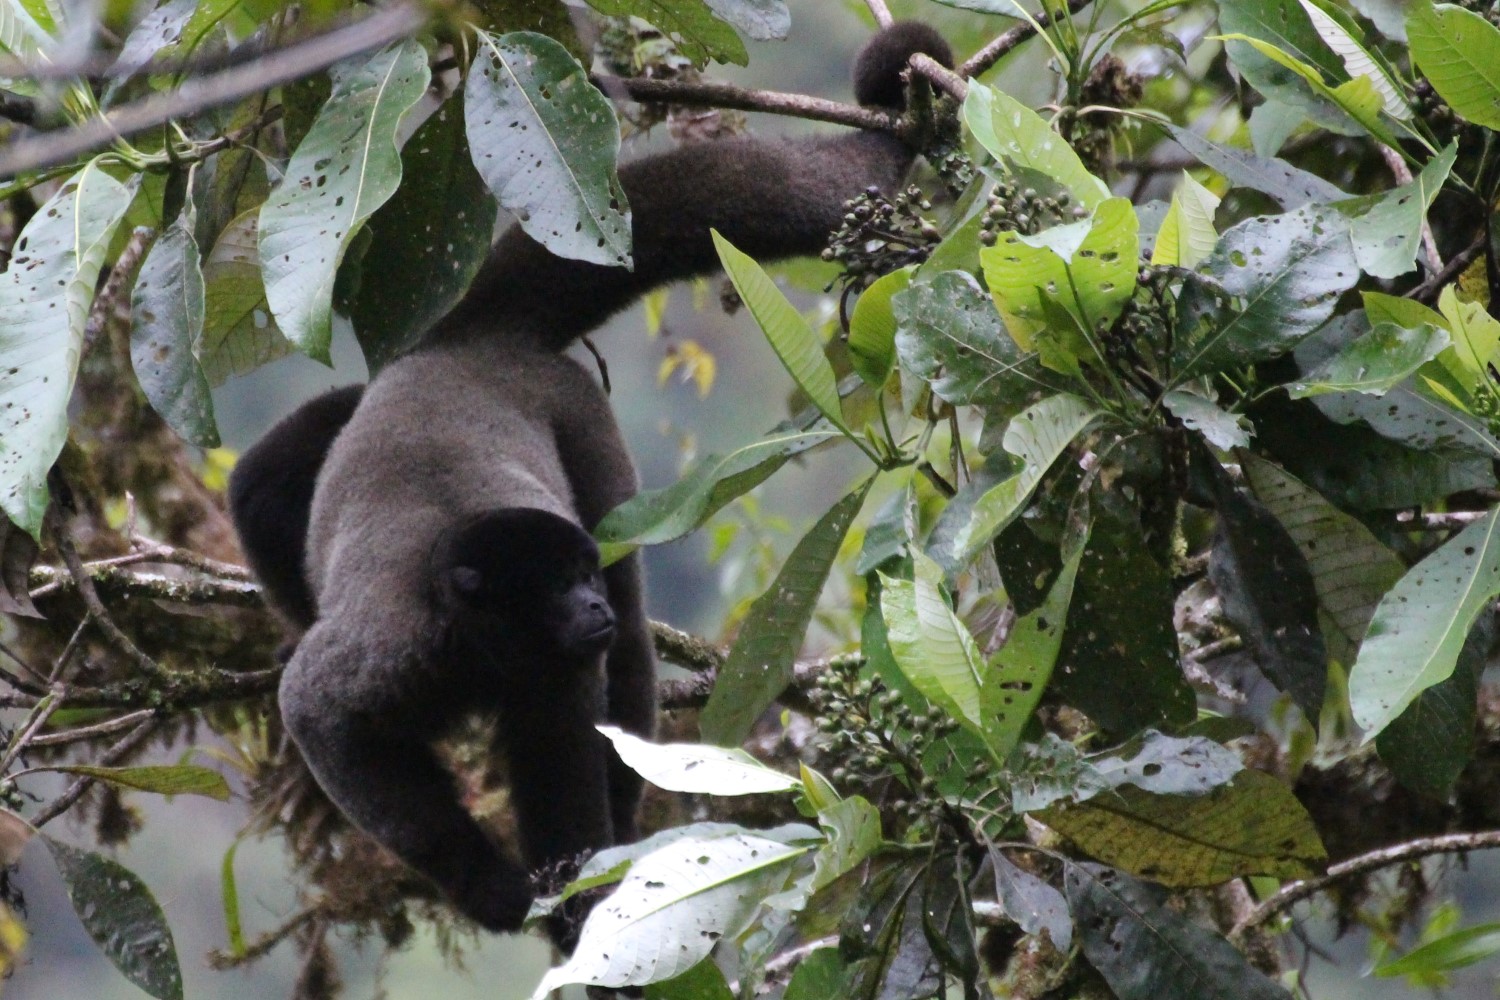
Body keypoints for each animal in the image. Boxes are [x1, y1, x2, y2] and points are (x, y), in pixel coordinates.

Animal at [230, 22, 954, 945]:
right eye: (552, 586)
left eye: (577, 578)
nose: (589, 604)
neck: (475, 641)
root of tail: (474, 341)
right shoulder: (390, 649)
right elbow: (320, 715)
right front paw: (490, 887)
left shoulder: (558, 664)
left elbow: (561, 758)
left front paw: (576, 903)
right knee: (259, 485)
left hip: (580, 418)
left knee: (633, 642)